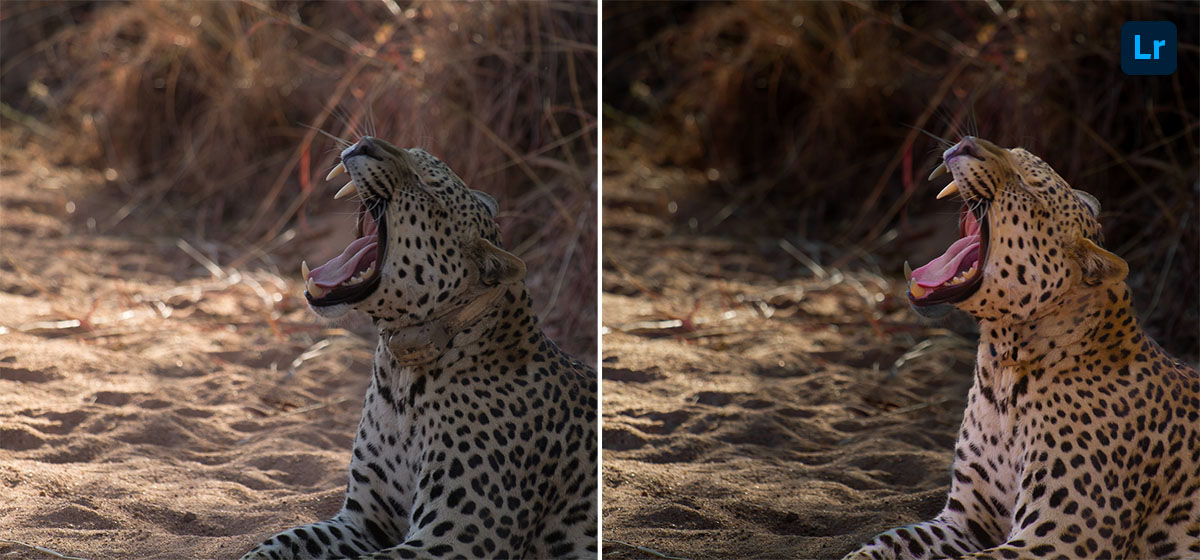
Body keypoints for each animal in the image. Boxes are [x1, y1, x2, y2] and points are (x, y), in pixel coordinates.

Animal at [241, 137, 598, 559]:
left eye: (427, 184)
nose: (365, 143)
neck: (402, 375)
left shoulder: (458, 539)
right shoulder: (365, 521)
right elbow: (286, 538)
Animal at [843, 136, 1200, 560]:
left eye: (1028, 185)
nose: (966, 143)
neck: (1003, 366)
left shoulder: (1061, 539)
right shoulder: (968, 521)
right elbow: (891, 538)